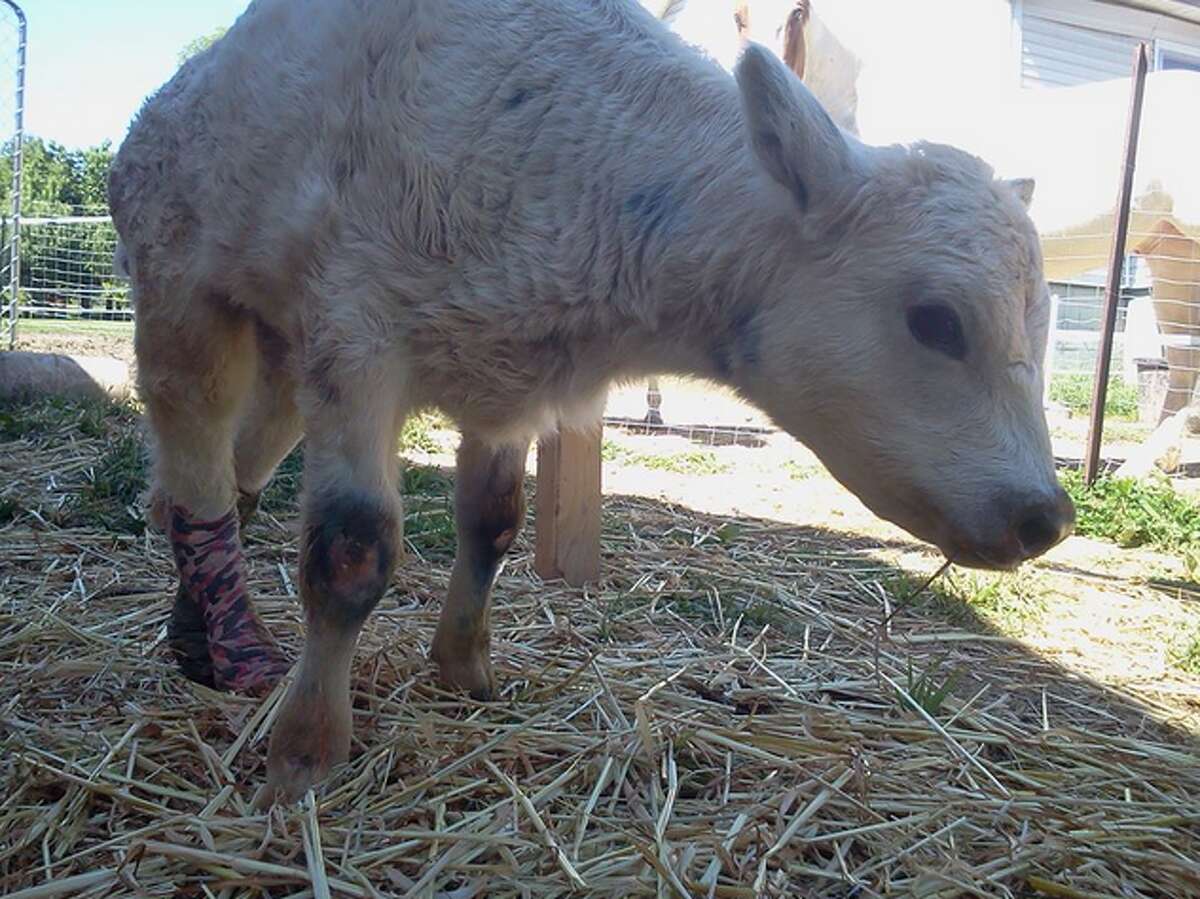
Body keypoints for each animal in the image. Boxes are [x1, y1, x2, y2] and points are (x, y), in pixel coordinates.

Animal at [108, 0, 1074, 802]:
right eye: (936, 320)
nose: (1047, 516)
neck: (563, 152)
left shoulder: (507, 385)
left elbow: (495, 520)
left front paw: (465, 669)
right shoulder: (356, 341)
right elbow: (351, 555)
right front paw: (306, 753)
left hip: (283, 349)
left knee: (244, 463)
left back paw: (196, 630)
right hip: (181, 289)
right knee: (194, 449)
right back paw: (229, 638)